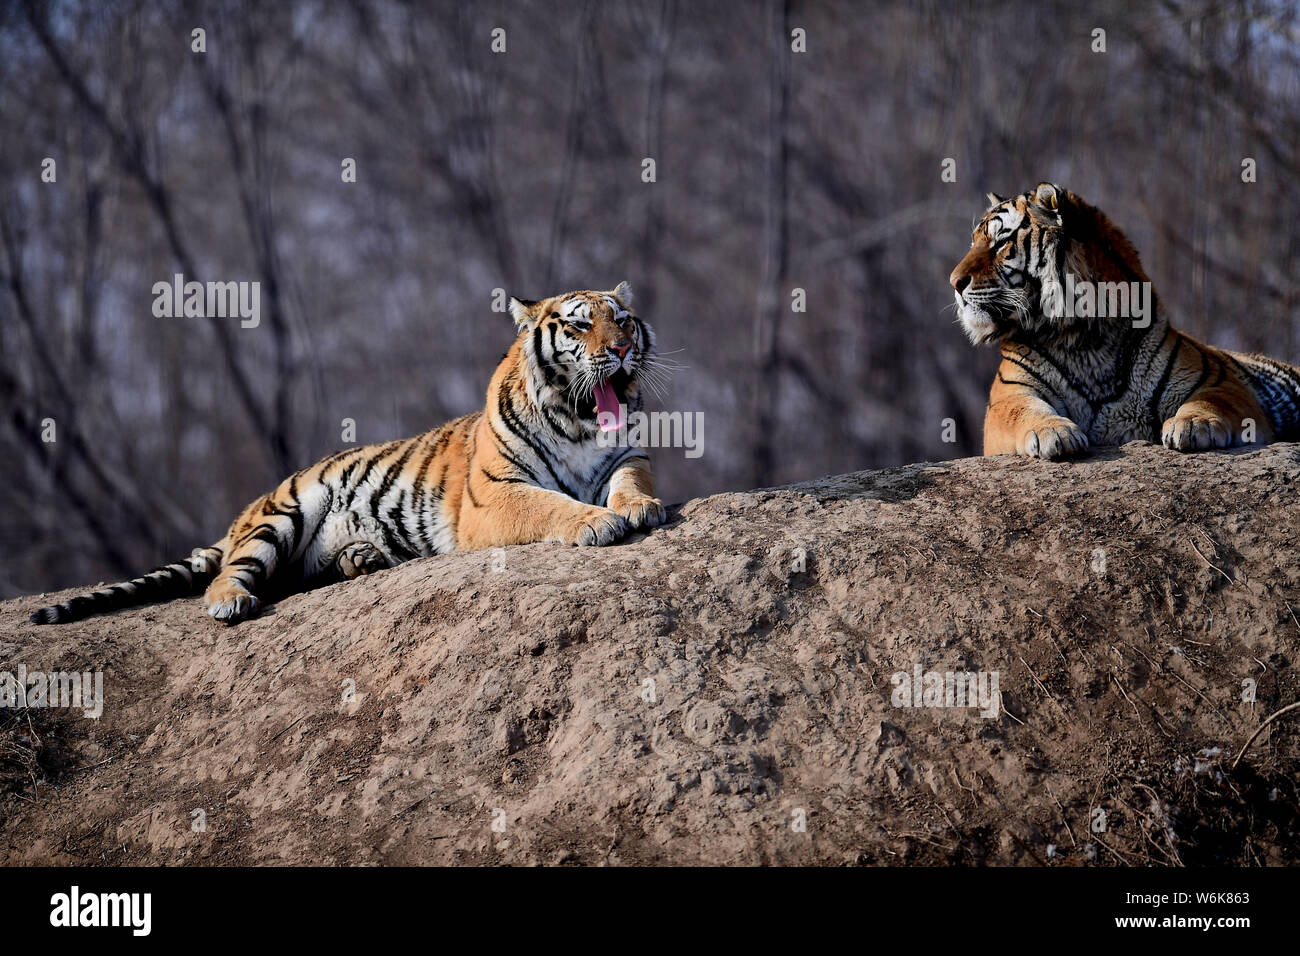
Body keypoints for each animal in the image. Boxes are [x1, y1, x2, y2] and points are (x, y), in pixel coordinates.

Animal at [31, 282, 666, 626]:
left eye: (622, 319)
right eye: (579, 326)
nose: (622, 349)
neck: (577, 420)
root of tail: (242, 517)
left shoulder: (627, 457)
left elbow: (631, 484)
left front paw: (637, 509)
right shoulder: (494, 496)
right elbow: (551, 505)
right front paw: (596, 523)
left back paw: (360, 558)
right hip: (282, 516)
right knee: (233, 575)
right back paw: (232, 602)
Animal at [949, 182, 1300, 459]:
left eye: (1001, 243)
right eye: (973, 242)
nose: (954, 282)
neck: (1083, 342)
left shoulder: (1217, 380)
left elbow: (1213, 400)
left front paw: (1194, 424)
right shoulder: (1008, 396)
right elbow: (1022, 411)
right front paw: (1054, 433)